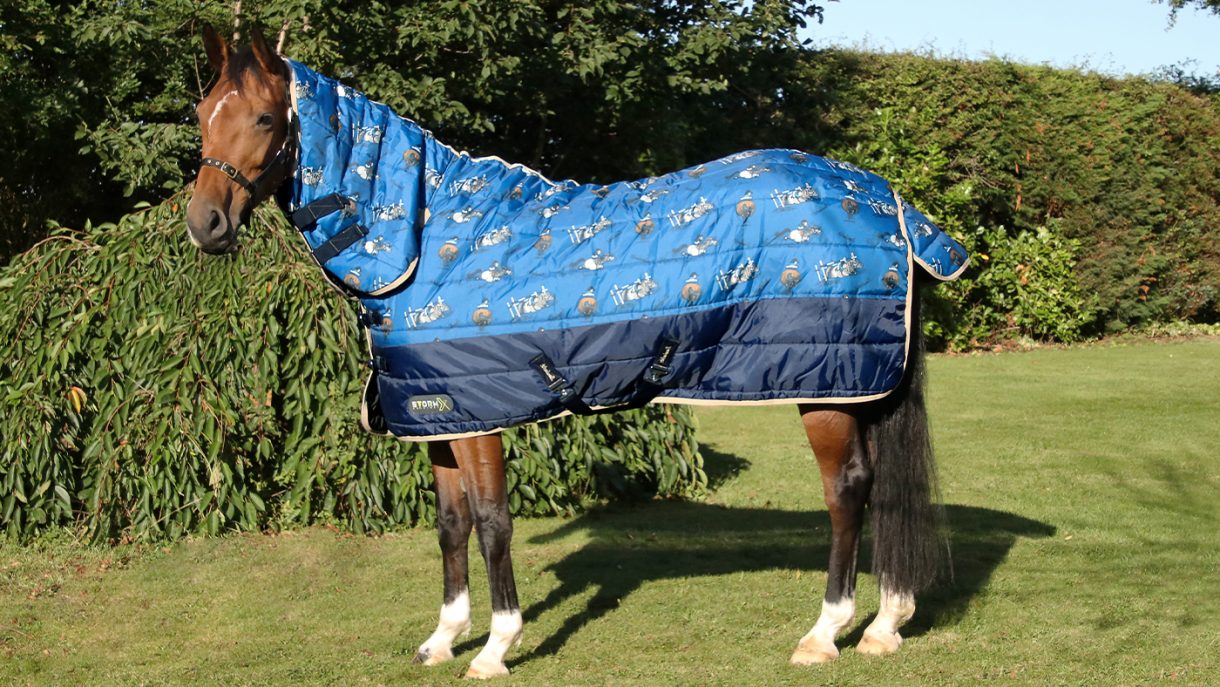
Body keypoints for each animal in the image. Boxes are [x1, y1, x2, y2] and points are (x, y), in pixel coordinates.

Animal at [186, 26, 965, 679]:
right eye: (201, 115)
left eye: (264, 119)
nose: (205, 224)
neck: (427, 241)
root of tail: (889, 202)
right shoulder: (438, 417)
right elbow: (450, 526)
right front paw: (443, 638)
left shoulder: (481, 419)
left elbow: (493, 523)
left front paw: (495, 647)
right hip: (863, 389)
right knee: (885, 489)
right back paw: (885, 624)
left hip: (827, 388)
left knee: (848, 491)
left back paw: (825, 632)